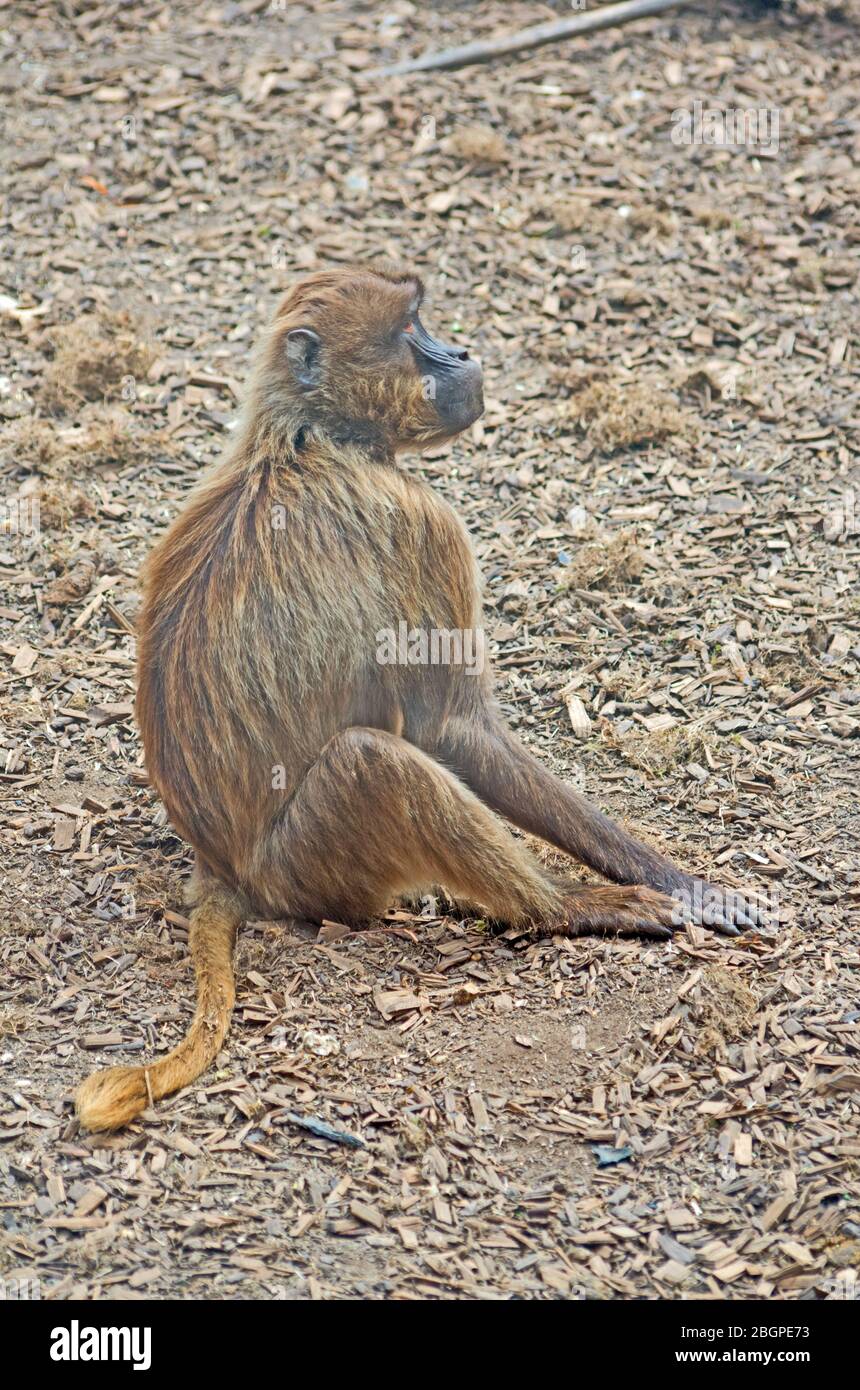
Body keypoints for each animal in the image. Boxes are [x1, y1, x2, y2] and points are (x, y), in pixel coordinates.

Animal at [75, 265, 760, 1132]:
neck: (309, 435)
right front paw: (678, 885)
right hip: (310, 864)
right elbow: (453, 729)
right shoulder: (423, 522)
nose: (463, 352)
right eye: (412, 329)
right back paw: (561, 908)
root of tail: (227, 871)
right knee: (374, 762)